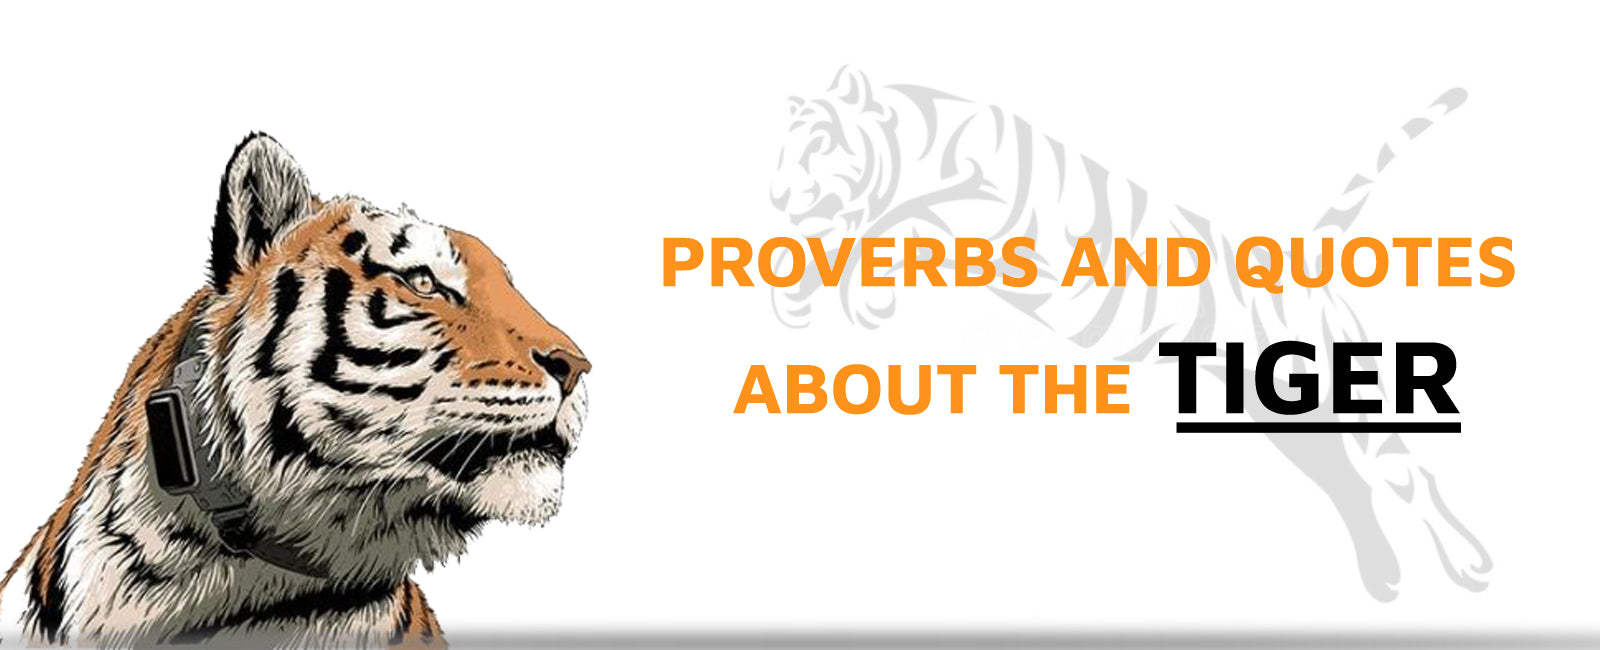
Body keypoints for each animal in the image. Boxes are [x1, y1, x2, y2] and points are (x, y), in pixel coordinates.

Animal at [768, 65, 1490, 601]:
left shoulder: (988, 205)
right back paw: (1384, 579)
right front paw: (810, 293)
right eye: (779, 152)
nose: (775, 197)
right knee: (1349, 482)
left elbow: (895, 218)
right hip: (1285, 418)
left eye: (816, 144)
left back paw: (1470, 564)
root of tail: (1308, 260)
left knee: (1406, 473)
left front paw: (860, 285)